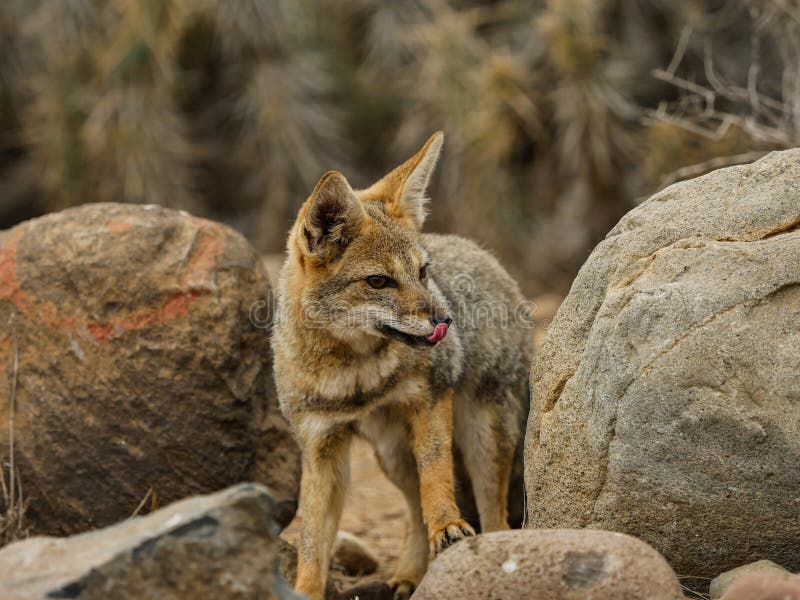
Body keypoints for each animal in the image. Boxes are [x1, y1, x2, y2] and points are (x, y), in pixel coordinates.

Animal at [272, 131, 534, 600]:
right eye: (379, 281)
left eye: (422, 273)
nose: (446, 320)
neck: (356, 376)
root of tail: (481, 251)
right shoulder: (321, 446)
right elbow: (312, 539)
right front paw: (305, 588)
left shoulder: (430, 400)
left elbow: (436, 475)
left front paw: (447, 525)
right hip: (392, 456)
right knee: (411, 511)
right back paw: (411, 573)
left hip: (482, 436)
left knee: (494, 515)